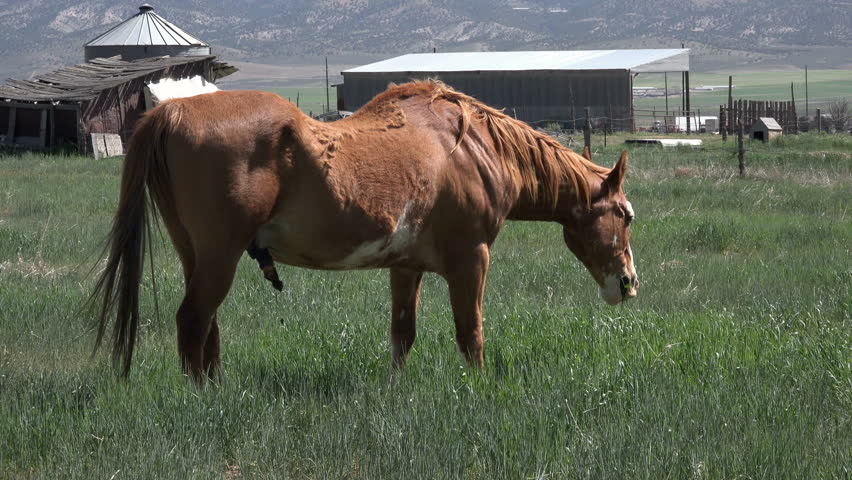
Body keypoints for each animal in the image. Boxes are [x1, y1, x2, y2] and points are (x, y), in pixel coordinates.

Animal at [91, 80, 638, 382]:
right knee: (193, 321)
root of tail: (171, 110)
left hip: (195, 254)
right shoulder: (471, 261)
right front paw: (480, 389)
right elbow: (471, 334)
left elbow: (402, 334)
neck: (475, 150)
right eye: (627, 215)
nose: (628, 283)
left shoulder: (406, 268)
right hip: (219, 256)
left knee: (207, 327)